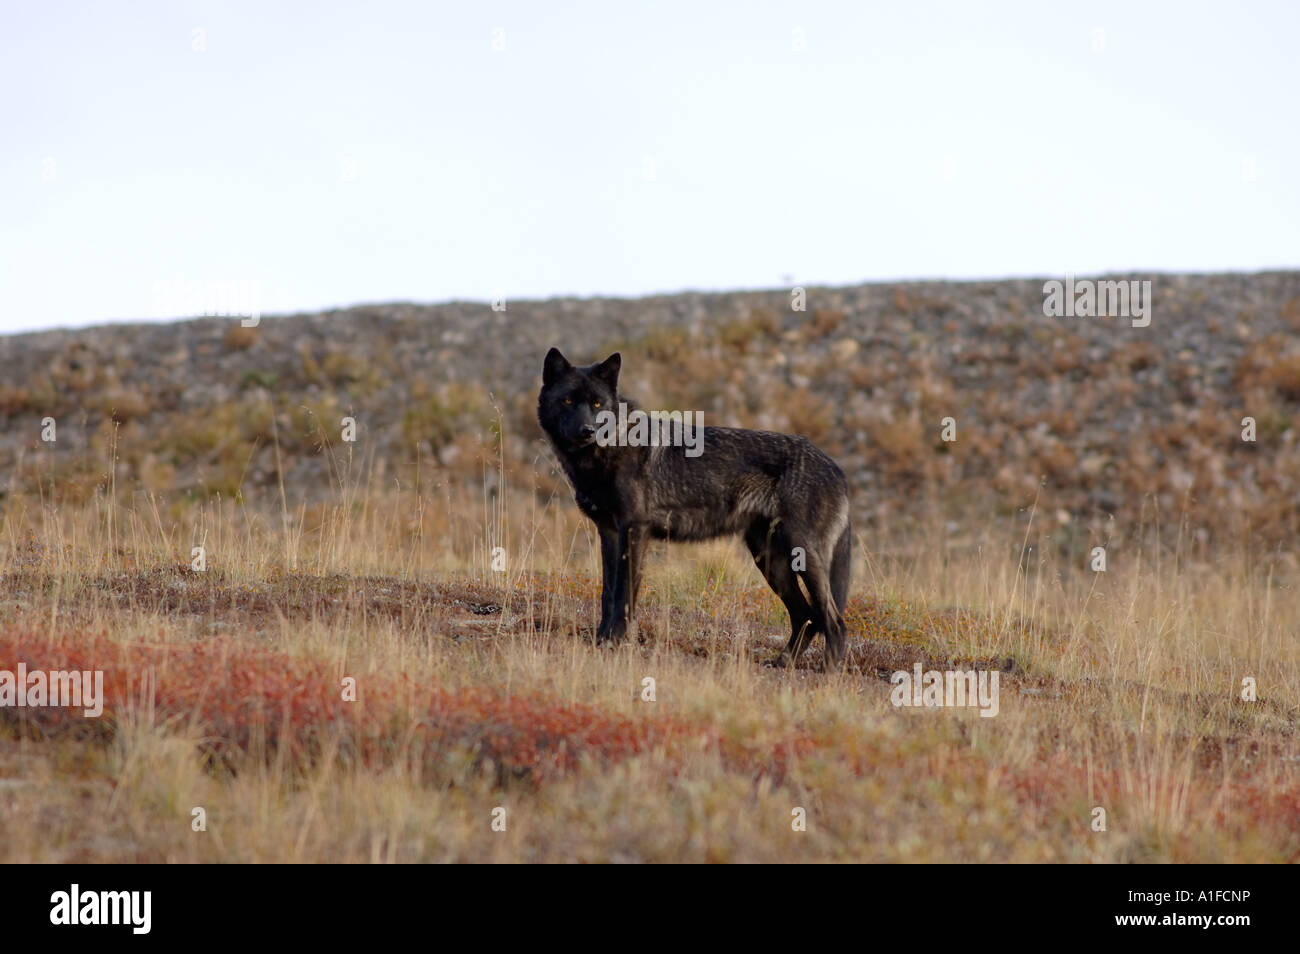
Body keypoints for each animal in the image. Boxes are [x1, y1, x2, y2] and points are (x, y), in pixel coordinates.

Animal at [537, 347, 852, 668]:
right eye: (568, 400)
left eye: (597, 403)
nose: (587, 430)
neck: (611, 448)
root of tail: (835, 467)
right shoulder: (610, 533)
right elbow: (608, 593)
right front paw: (602, 640)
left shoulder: (634, 530)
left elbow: (625, 595)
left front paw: (616, 641)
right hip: (770, 560)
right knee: (806, 616)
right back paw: (782, 662)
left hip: (802, 555)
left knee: (833, 621)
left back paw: (828, 670)